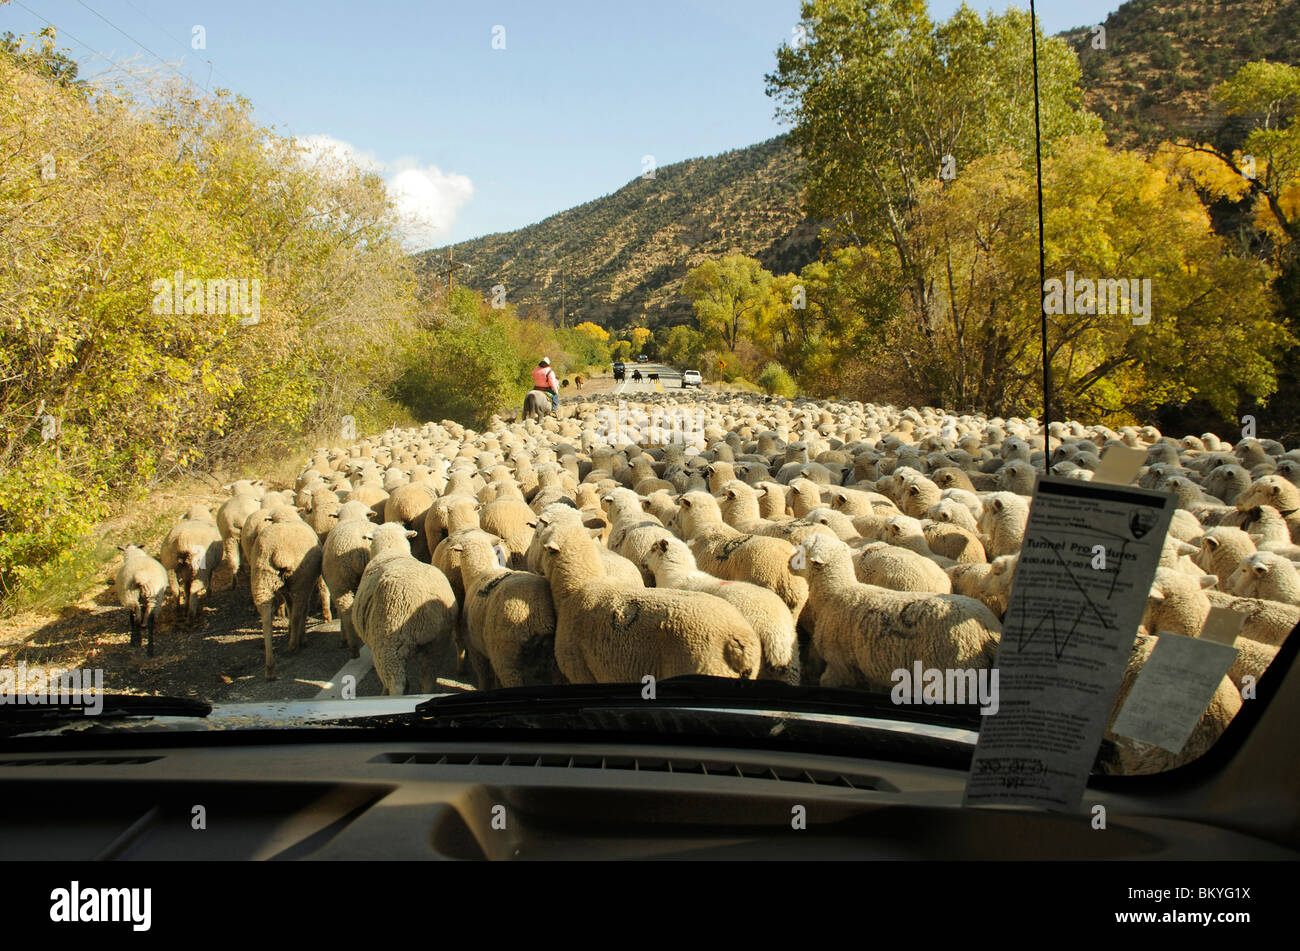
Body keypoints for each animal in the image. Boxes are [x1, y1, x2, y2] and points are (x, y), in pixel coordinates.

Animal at [250, 507, 323, 680]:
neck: (286, 518)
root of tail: (279, 551)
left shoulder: (285, 590)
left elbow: (290, 608)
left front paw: (290, 630)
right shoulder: (304, 585)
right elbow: (301, 610)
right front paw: (300, 636)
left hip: (262, 580)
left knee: (267, 619)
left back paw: (270, 667)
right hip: (300, 581)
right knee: (297, 613)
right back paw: (294, 645)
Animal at [352, 523, 460, 695]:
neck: (391, 550)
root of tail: (427, 608)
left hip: (388, 643)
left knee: (396, 684)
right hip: (438, 643)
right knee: (428, 679)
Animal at [789, 535, 999, 691]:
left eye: (803, 550)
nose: (789, 562)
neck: (836, 591)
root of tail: (987, 629)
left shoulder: (839, 665)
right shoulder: (871, 670)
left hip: (953, 672)